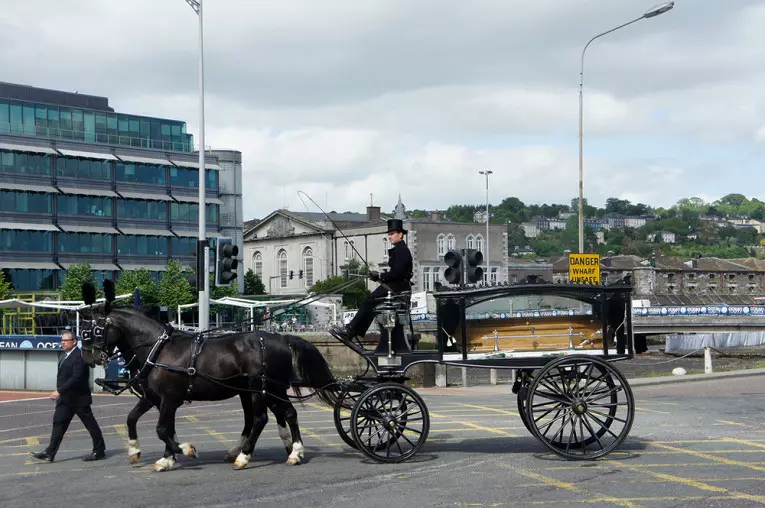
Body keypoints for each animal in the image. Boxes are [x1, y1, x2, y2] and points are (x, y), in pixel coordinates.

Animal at [80, 298, 338, 472]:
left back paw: (244, 456)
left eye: (96, 330)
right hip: (267, 390)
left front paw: (184, 450)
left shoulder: (169, 398)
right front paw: (141, 452)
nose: (88, 357)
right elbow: (137, 420)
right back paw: (293, 451)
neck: (159, 349)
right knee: (286, 413)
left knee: (260, 419)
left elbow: (162, 429)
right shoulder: (155, 397)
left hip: (259, 389)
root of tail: (282, 338)